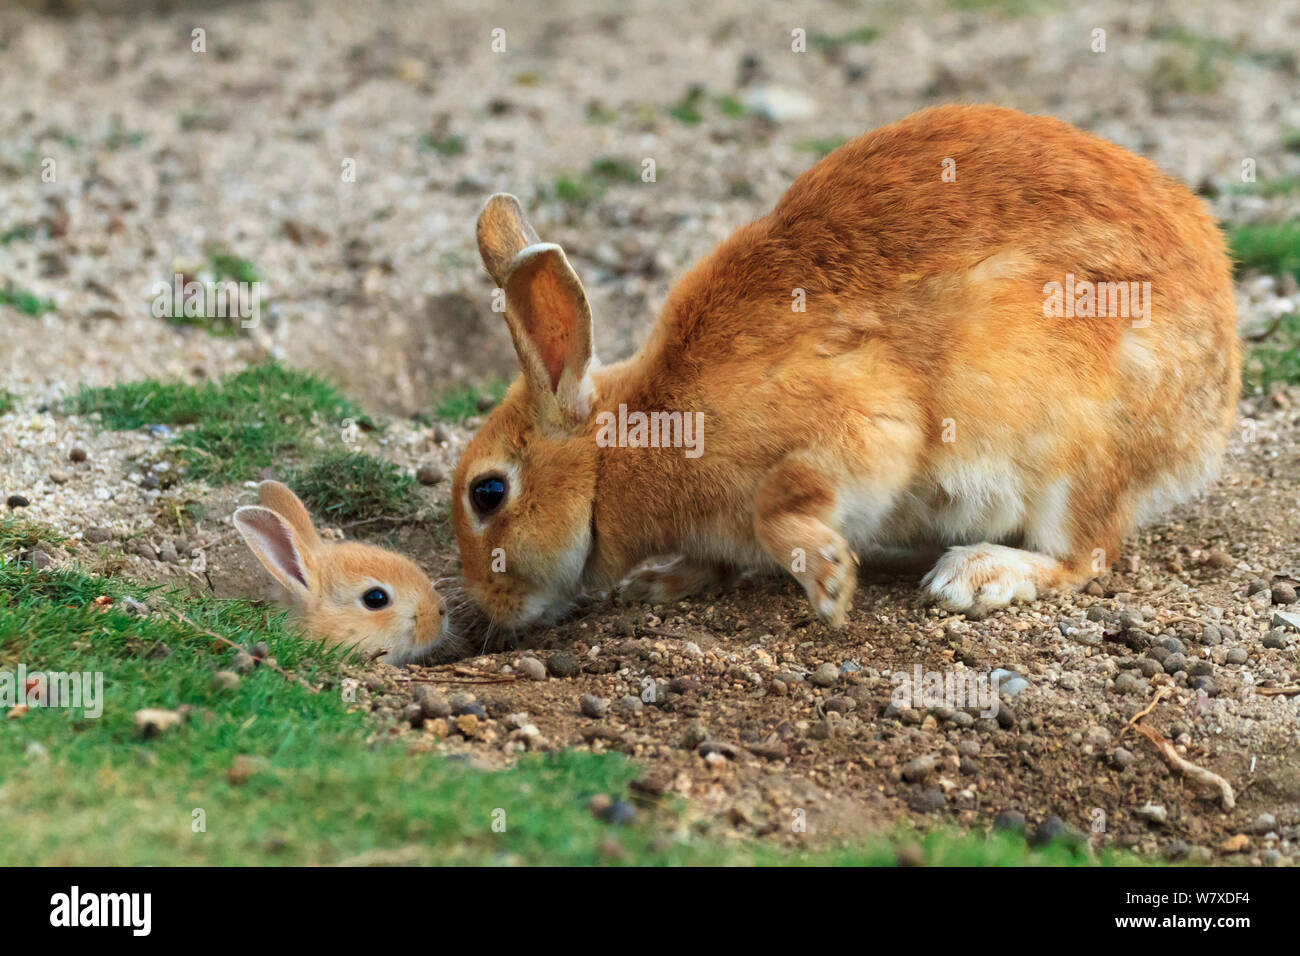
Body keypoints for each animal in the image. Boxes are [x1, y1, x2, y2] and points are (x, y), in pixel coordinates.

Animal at [448, 104, 1239, 635]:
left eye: (489, 492)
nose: (487, 608)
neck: (617, 456)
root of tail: (1214, 401)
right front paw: (665, 583)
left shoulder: (861, 427)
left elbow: (781, 499)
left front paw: (829, 581)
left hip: (1071, 453)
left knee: (1087, 555)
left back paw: (974, 575)